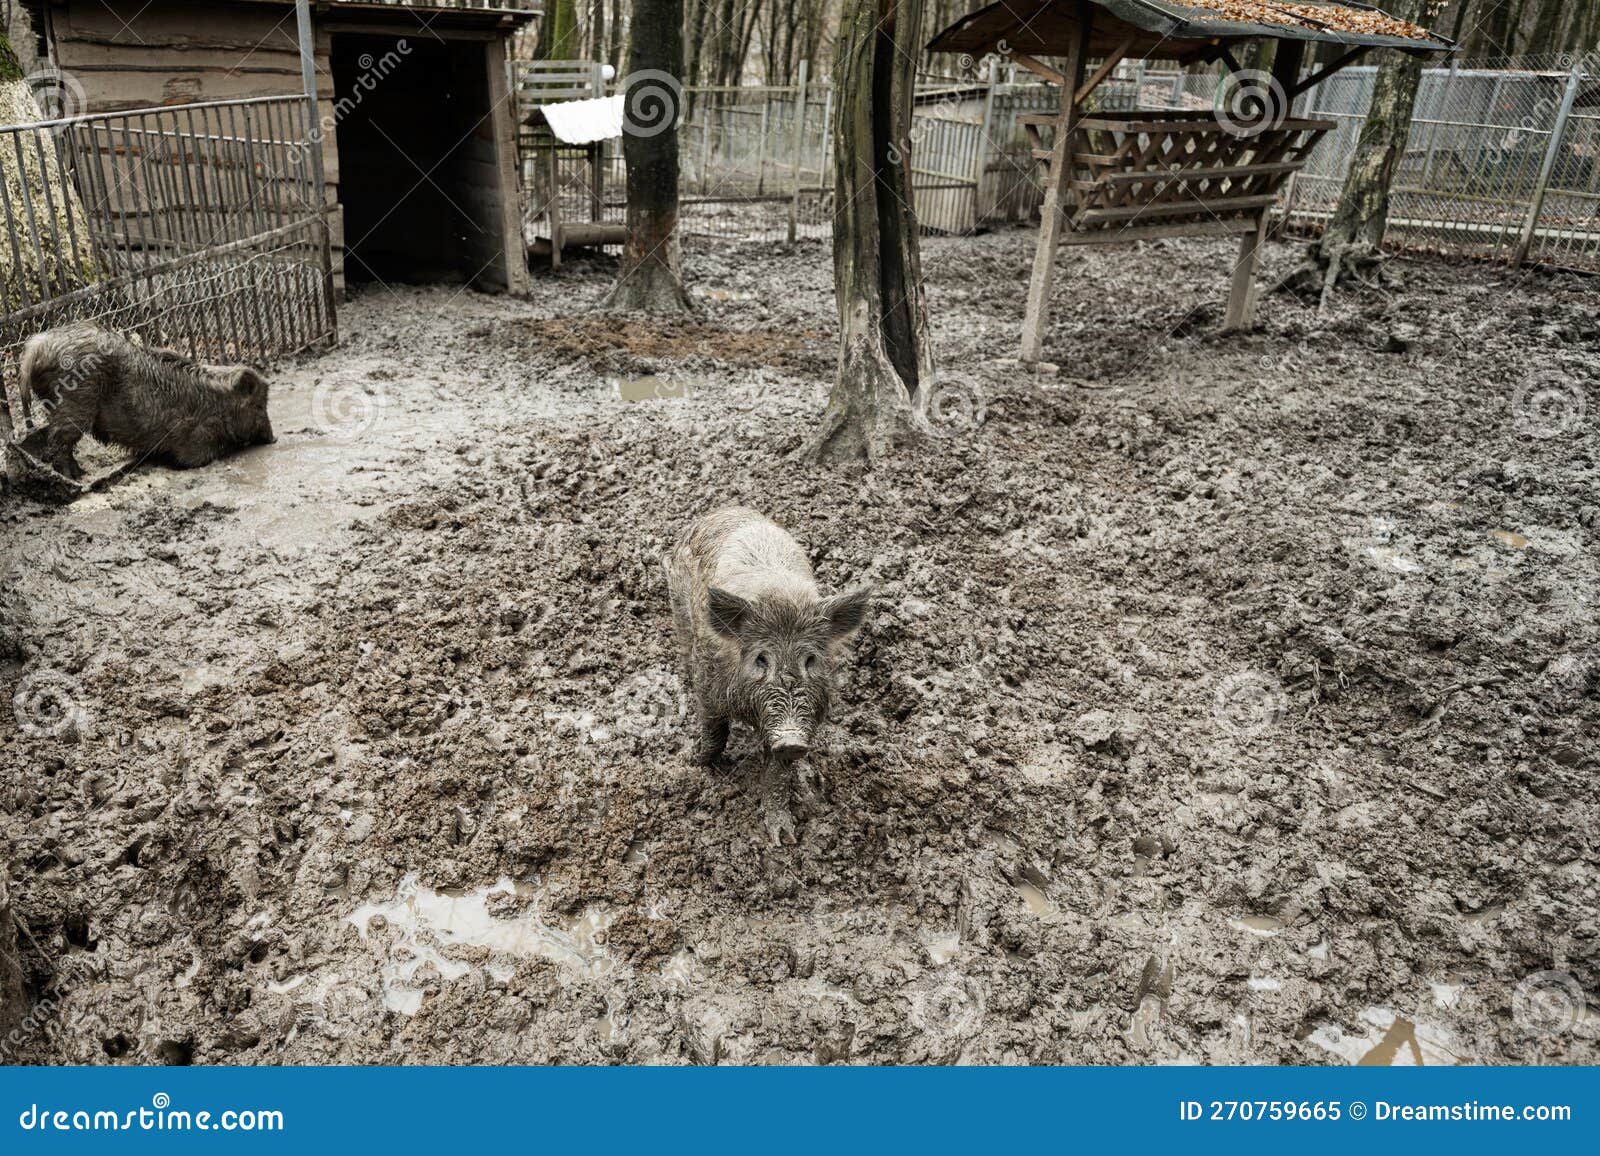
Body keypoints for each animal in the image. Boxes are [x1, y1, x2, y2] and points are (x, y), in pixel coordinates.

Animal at [15, 322, 274, 479]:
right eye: (259, 405)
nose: (273, 438)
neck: (219, 404)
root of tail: (38, 345)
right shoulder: (196, 442)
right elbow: (200, 456)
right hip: (75, 401)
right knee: (59, 440)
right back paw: (76, 476)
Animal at [667, 506, 871, 845]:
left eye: (810, 660)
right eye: (761, 658)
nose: (791, 739)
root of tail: (726, 509)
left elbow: (777, 773)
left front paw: (784, 840)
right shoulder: (708, 688)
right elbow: (715, 733)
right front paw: (693, 763)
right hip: (678, 604)